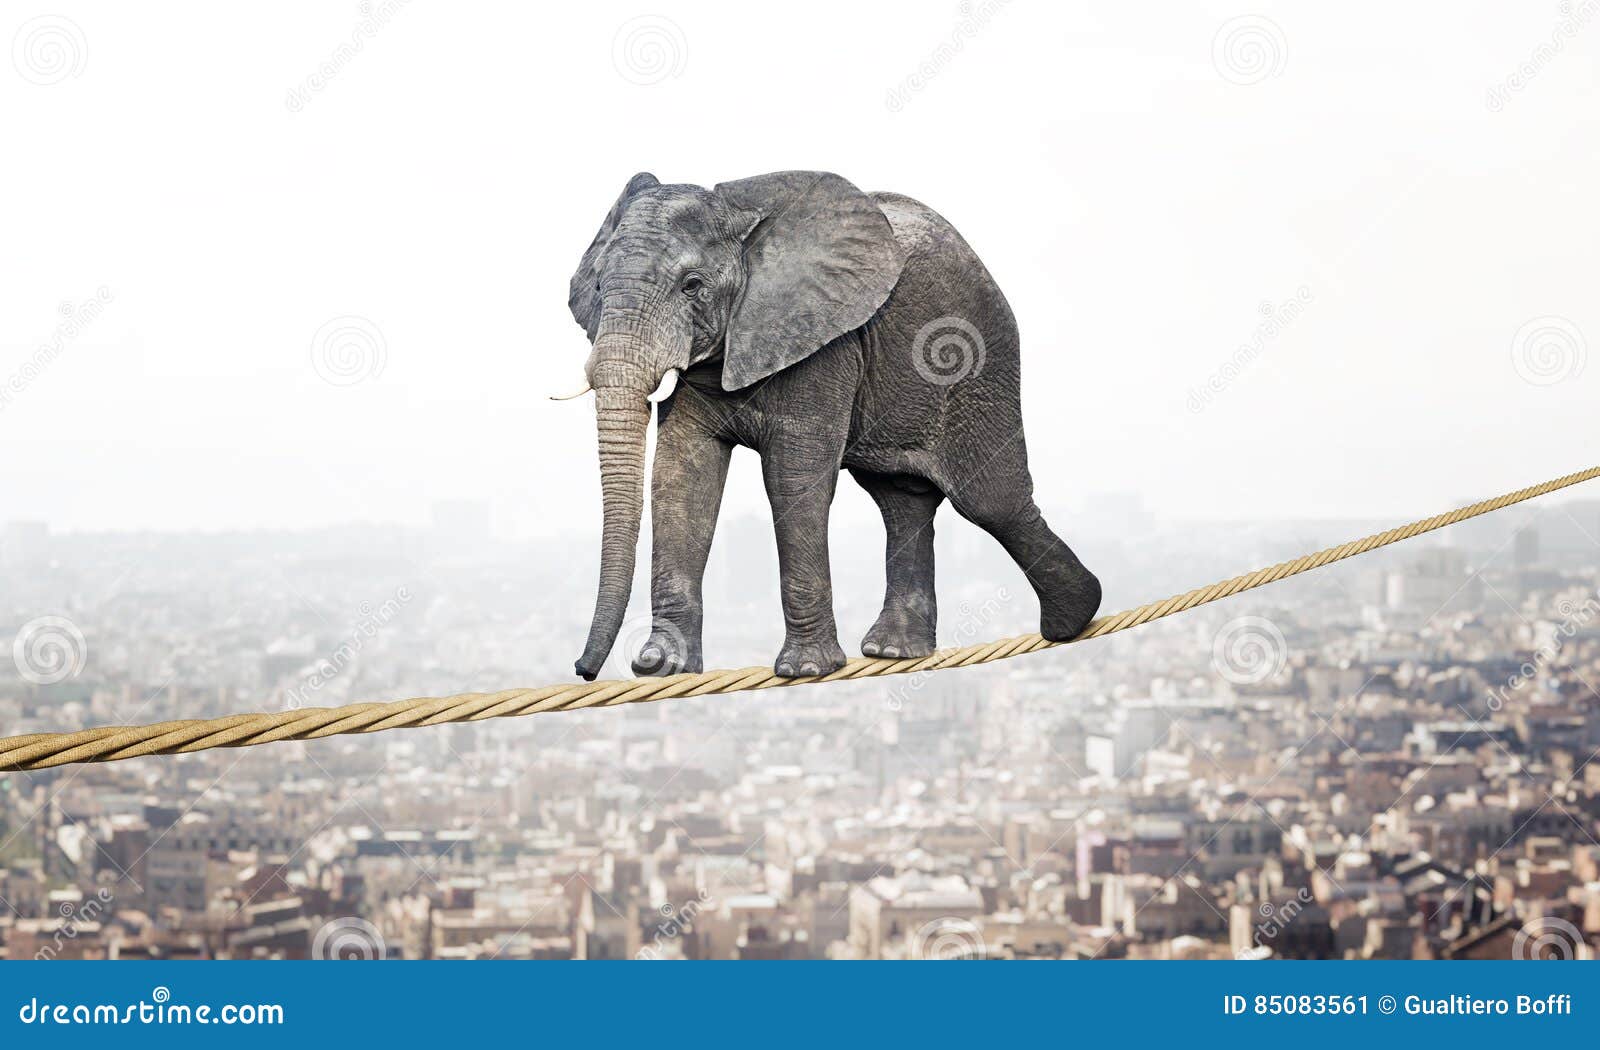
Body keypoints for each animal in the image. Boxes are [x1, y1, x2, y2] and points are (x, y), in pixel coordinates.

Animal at [558, 170, 1101, 681]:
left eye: (692, 285)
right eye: (600, 288)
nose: (583, 669)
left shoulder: (824, 342)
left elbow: (793, 478)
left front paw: (805, 670)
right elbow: (681, 477)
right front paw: (659, 666)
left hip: (979, 364)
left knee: (990, 500)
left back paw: (1075, 618)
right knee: (901, 501)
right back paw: (894, 651)